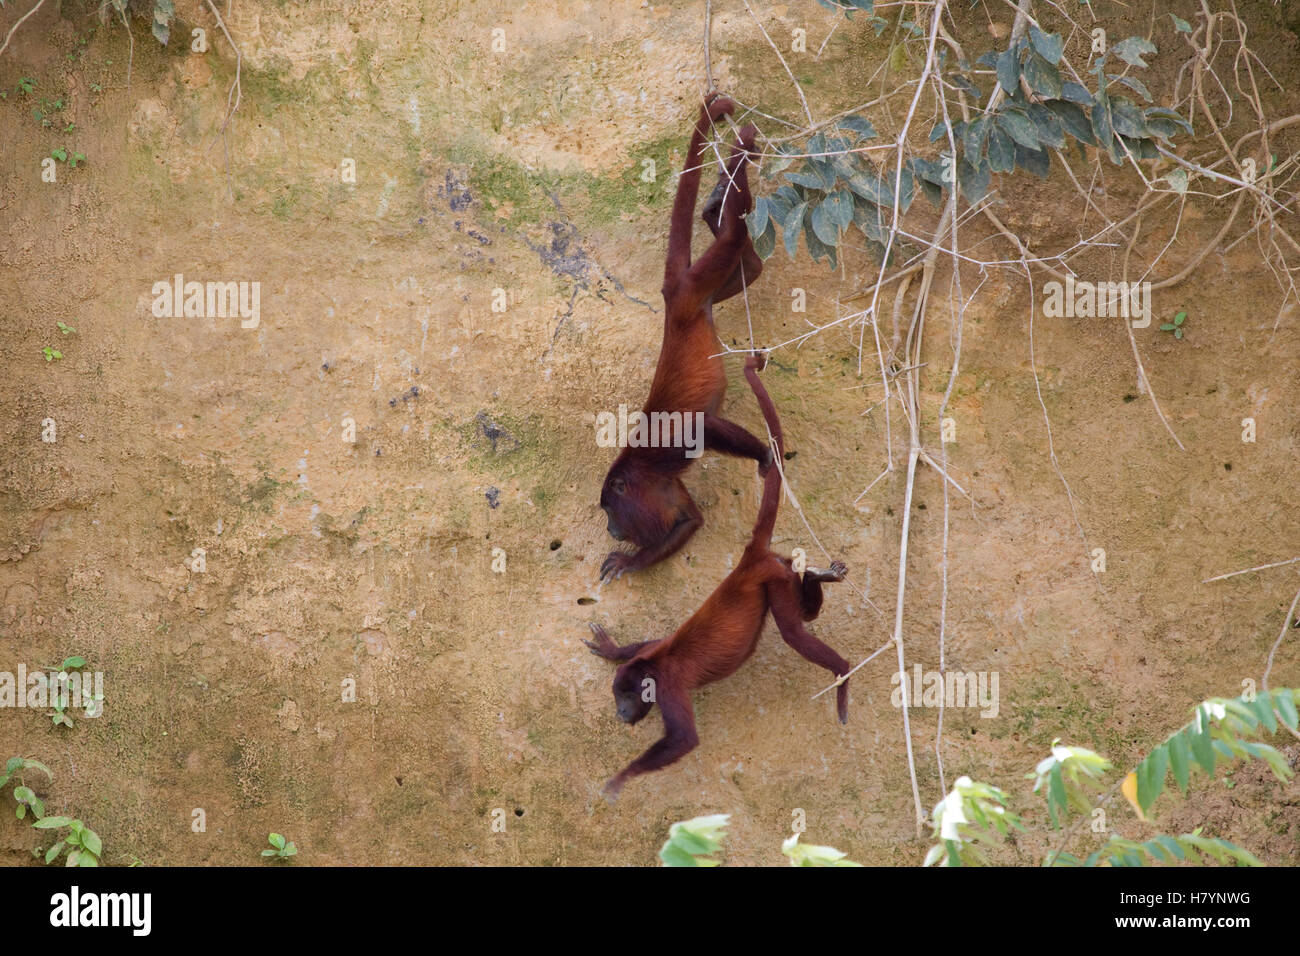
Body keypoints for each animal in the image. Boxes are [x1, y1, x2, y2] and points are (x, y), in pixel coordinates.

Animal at [586, 353, 852, 797]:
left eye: (625, 698)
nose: (621, 714)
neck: (652, 667)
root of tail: (746, 561)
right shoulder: (651, 649)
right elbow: (638, 644)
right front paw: (611, 648)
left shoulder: (668, 686)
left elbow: (683, 739)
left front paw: (622, 776)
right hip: (777, 570)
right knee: (803, 612)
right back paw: (818, 578)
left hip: (771, 581)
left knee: (794, 632)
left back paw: (843, 671)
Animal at [599, 94, 769, 584]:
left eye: (609, 508)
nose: (612, 529)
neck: (637, 474)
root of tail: (674, 297)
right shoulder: (663, 486)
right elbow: (690, 520)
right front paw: (631, 560)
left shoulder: (660, 455)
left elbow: (704, 428)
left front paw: (766, 458)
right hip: (705, 293)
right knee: (749, 264)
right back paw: (714, 207)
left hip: (694, 288)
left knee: (734, 236)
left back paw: (738, 156)